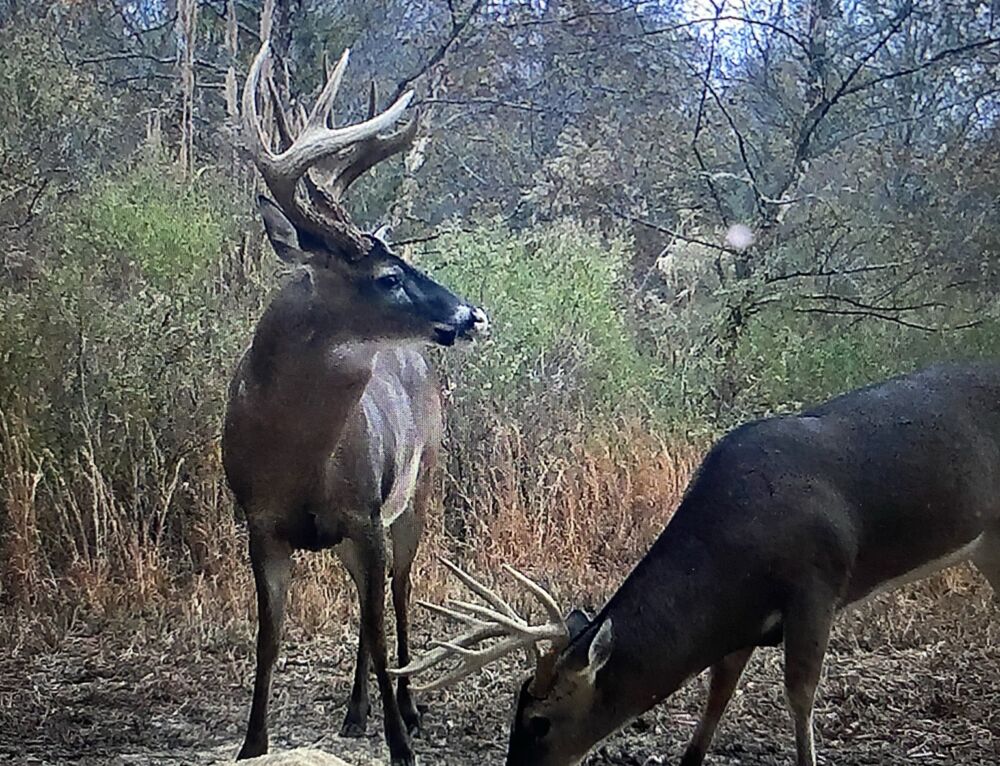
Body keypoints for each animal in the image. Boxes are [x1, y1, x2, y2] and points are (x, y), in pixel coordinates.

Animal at [223, 41, 488, 765]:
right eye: (389, 276)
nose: (472, 314)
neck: (294, 452)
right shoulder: (261, 523)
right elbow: (268, 638)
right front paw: (252, 744)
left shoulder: (367, 514)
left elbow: (374, 622)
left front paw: (402, 744)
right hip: (347, 535)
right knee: (366, 607)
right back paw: (355, 712)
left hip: (417, 493)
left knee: (396, 597)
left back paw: (408, 707)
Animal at [393, 362, 1000, 766]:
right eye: (515, 707)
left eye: (539, 722)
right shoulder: (741, 623)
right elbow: (718, 694)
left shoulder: (816, 584)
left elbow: (800, 694)